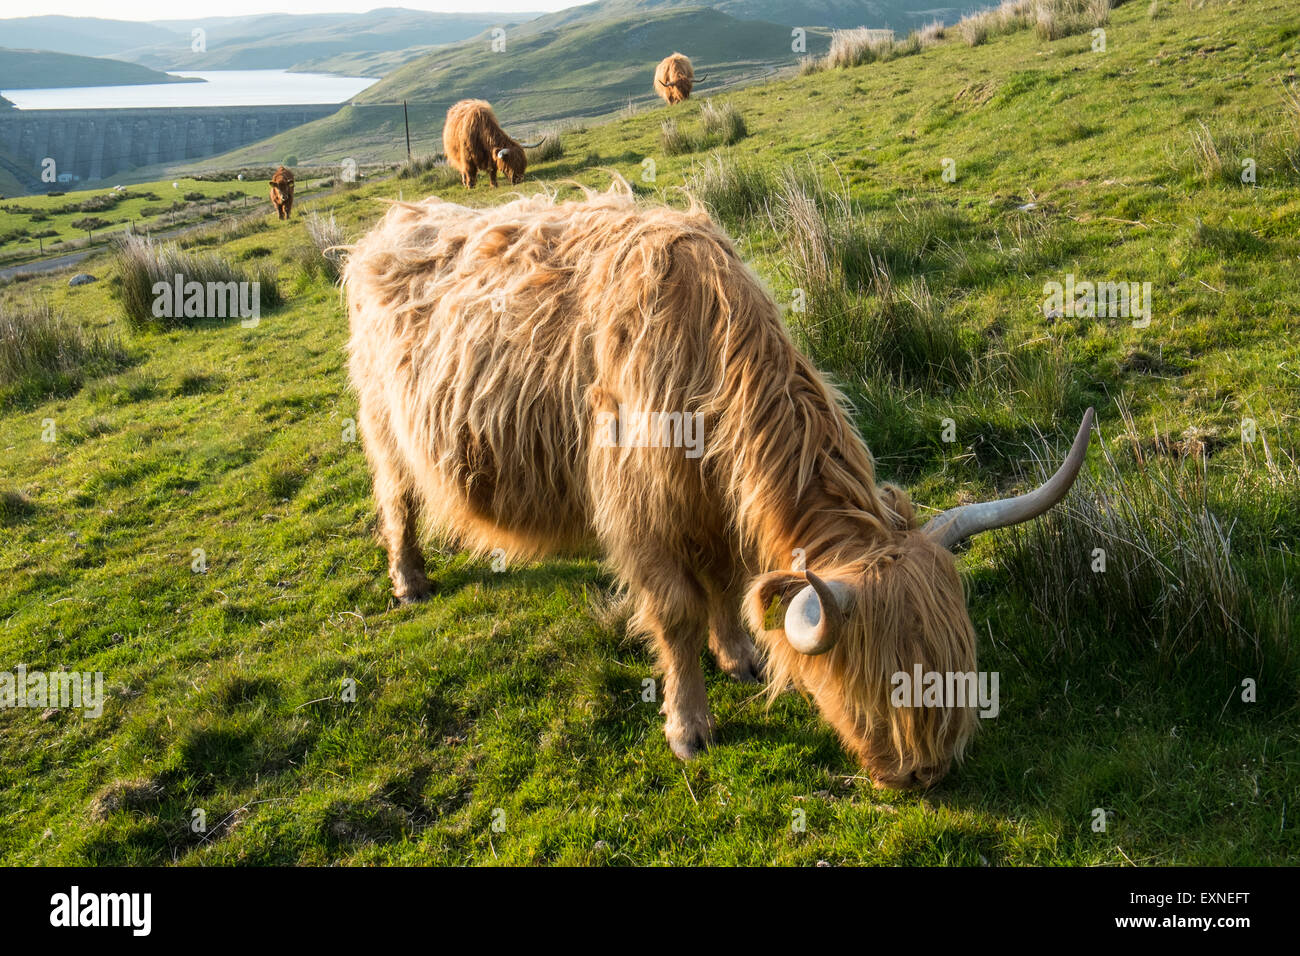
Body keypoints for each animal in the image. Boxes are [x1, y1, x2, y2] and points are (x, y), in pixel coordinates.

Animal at [342, 183, 1093, 788]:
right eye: (877, 684)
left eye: (956, 657)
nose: (927, 773)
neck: (709, 359)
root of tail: (394, 219)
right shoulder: (640, 513)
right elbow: (676, 612)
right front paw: (689, 727)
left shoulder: (721, 509)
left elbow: (729, 586)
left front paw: (739, 657)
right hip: (382, 424)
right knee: (396, 499)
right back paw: (410, 581)